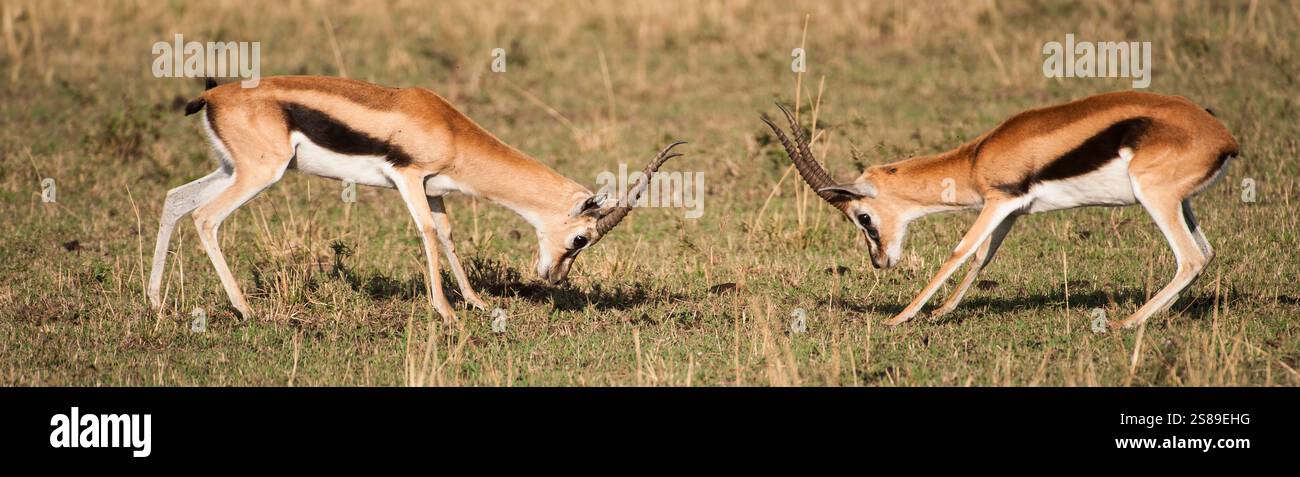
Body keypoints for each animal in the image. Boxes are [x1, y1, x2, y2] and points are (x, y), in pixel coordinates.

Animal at [148, 76, 684, 321]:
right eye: (580, 239)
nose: (554, 277)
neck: (448, 129)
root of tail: (214, 95)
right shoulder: (408, 178)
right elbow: (425, 231)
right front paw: (445, 312)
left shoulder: (434, 189)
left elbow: (446, 233)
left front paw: (477, 302)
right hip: (260, 173)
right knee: (205, 217)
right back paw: (246, 310)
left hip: (231, 169)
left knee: (176, 199)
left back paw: (155, 302)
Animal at [763, 91, 1238, 328]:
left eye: (863, 218)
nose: (880, 263)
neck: (976, 158)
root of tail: (1224, 138)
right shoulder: (1012, 210)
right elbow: (981, 257)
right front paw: (942, 312)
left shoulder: (999, 200)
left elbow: (957, 252)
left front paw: (901, 317)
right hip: (1182, 202)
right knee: (1206, 253)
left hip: (1155, 197)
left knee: (1189, 257)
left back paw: (1127, 323)